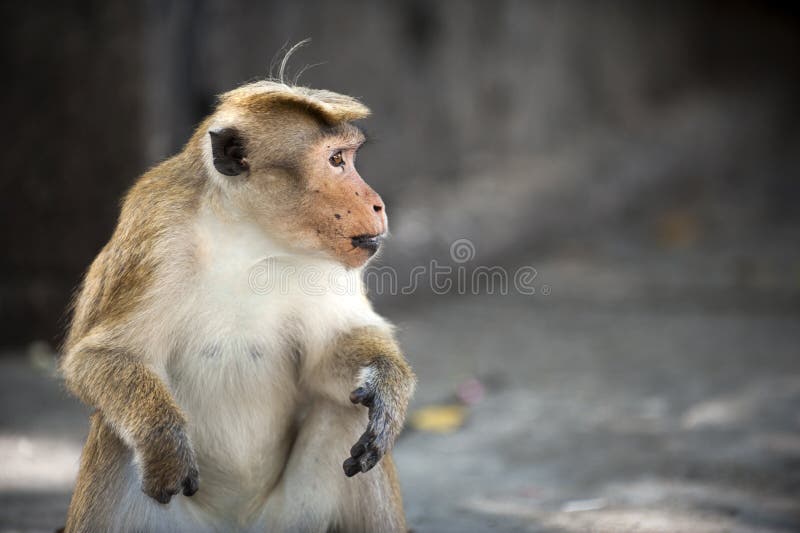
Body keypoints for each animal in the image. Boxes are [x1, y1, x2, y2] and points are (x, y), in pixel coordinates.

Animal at [60, 78, 416, 532]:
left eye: (348, 157)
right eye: (336, 160)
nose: (377, 203)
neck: (248, 237)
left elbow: (328, 356)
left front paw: (387, 386)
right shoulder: (155, 230)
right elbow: (99, 355)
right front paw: (163, 440)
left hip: (289, 517)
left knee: (347, 411)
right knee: (114, 434)